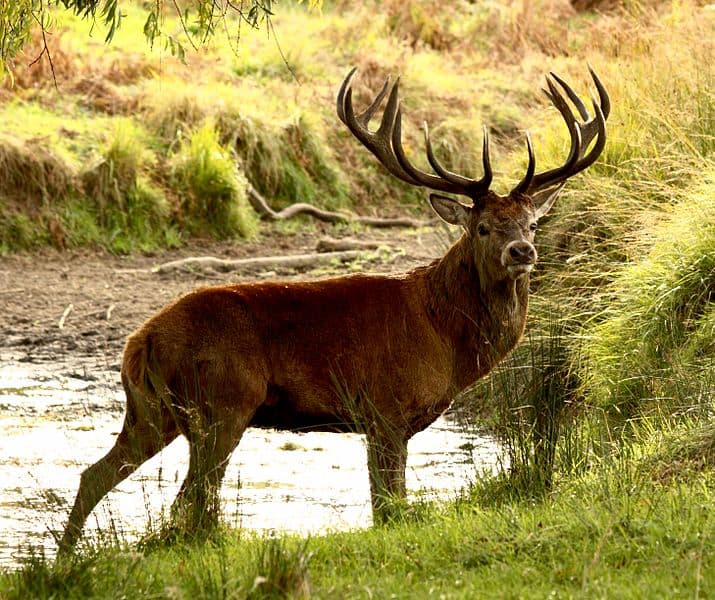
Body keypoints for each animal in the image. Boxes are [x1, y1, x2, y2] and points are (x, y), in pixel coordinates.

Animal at [59, 67, 609, 552]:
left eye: (531, 223)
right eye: (483, 227)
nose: (522, 252)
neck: (444, 338)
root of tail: (139, 341)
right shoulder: (385, 408)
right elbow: (388, 507)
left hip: (153, 411)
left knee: (95, 476)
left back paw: (65, 560)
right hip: (222, 403)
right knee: (190, 500)